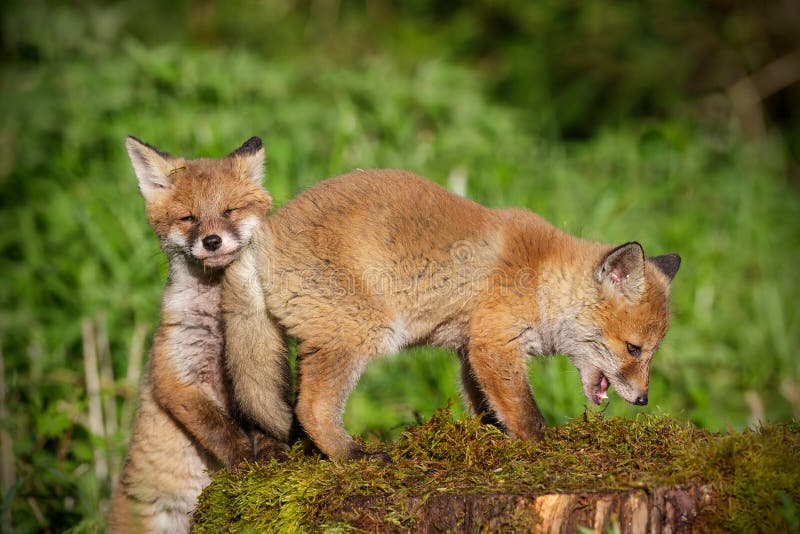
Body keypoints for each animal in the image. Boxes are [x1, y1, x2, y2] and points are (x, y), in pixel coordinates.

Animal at [107, 136, 293, 533]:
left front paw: (272, 455)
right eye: (188, 218)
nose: (212, 241)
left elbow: (264, 416)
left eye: (229, 211)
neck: (217, 321)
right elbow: (220, 428)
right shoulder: (174, 375)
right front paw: (244, 462)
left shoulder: (258, 364)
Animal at [222, 169, 681, 461]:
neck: (540, 280)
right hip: (360, 333)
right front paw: (546, 448)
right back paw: (353, 455)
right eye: (634, 349)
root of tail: (263, 233)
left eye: (651, 352)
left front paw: (489, 438)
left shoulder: (471, 349)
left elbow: (487, 407)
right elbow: (528, 414)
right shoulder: (495, 345)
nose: (643, 400)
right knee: (311, 407)